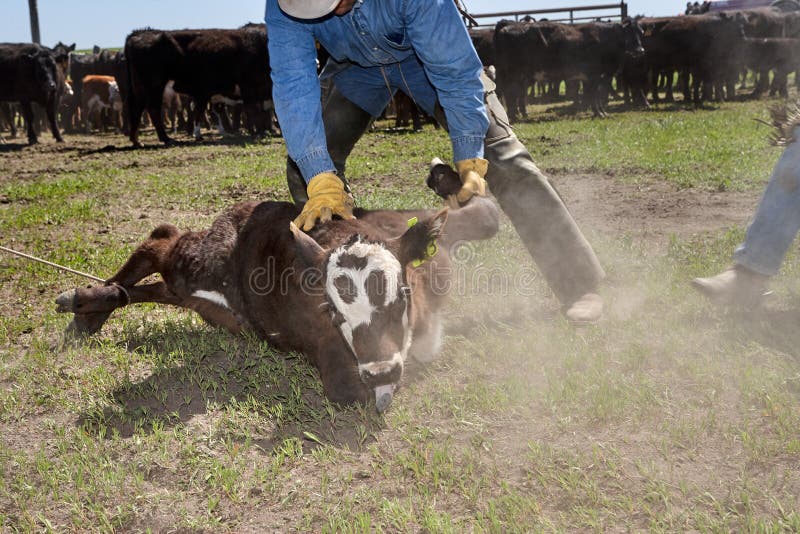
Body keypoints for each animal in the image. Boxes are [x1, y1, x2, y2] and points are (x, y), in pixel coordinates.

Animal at [54, 162, 500, 412]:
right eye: (332, 312)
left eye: (400, 296)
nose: (380, 370)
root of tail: (239, 211)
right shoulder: (329, 354)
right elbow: (348, 389)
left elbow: (488, 216)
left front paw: (457, 178)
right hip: (199, 263)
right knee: (159, 239)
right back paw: (87, 301)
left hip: (200, 297)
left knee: (160, 285)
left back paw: (91, 307)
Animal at [124, 27, 272, 146]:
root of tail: (140, 33)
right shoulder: (248, 87)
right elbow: (253, 110)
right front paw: (258, 133)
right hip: (154, 86)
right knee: (153, 109)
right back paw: (166, 139)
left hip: (140, 88)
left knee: (137, 109)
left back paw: (136, 141)